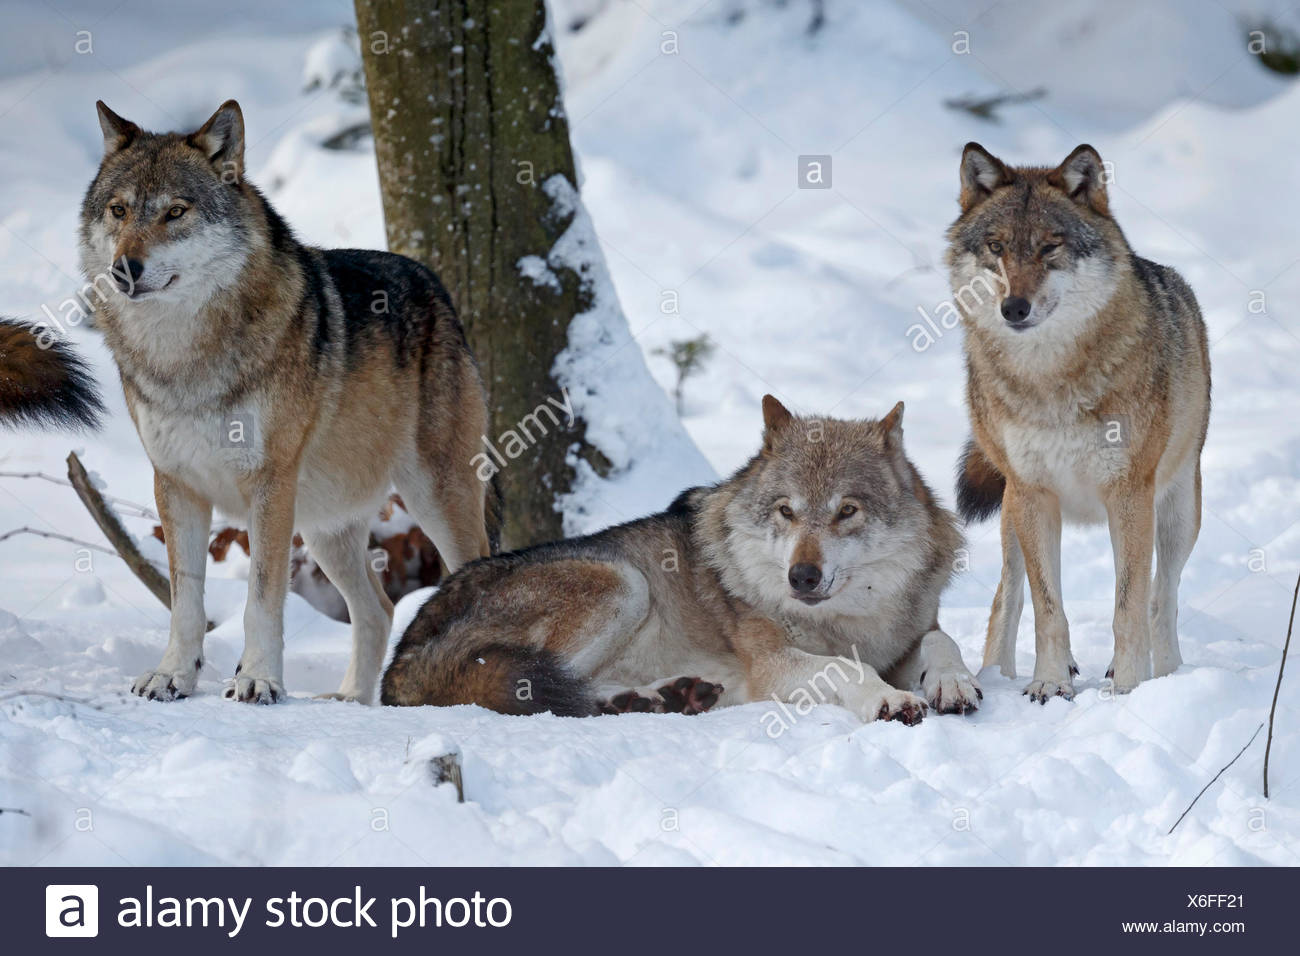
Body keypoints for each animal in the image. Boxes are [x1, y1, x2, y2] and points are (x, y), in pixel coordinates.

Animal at [80, 100, 497, 705]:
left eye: (176, 212)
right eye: (119, 210)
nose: (124, 269)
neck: (183, 356)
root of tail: (436, 286)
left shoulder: (269, 483)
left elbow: (261, 599)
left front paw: (257, 680)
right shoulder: (175, 484)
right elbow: (185, 602)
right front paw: (172, 675)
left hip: (436, 497)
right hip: (326, 527)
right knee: (379, 608)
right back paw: (350, 701)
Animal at [382, 396, 981, 725]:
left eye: (847, 511)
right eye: (786, 511)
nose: (802, 576)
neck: (851, 617)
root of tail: (399, 659)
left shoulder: (904, 637)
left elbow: (941, 641)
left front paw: (953, 684)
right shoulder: (772, 663)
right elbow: (849, 667)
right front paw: (889, 700)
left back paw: (663, 698)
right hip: (623, 582)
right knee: (543, 692)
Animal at [946, 142, 1210, 699]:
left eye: (1051, 247)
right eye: (997, 247)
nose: (1013, 308)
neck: (1050, 378)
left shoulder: (1129, 495)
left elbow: (1129, 607)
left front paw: (1129, 689)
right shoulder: (1033, 493)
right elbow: (1048, 608)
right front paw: (1048, 684)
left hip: (1178, 514)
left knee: (1163, 597)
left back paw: (1167, 675)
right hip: (1011, 513)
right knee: (1008, 595)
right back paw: (994, 676)